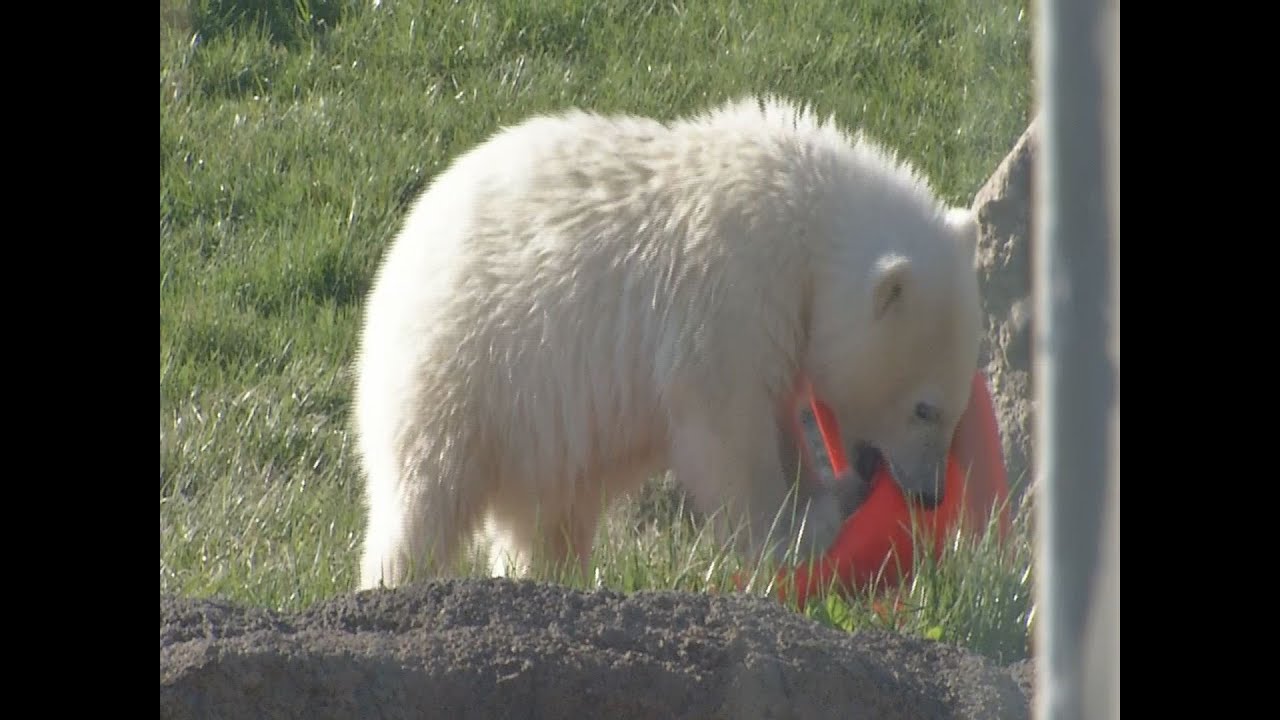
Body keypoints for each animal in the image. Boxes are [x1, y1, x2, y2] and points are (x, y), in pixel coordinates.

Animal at [353, 95, 982, 590]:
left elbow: (778, 415)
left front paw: (826, 496)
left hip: (538, 427)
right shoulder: (726, 294)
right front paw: (793, 536)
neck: (801, 216)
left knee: (548, 516)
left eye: (957, 409)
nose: (929, 494)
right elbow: (729, 430)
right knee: (427, 492)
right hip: (464, 366)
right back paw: (395, 580)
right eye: (925, 408)